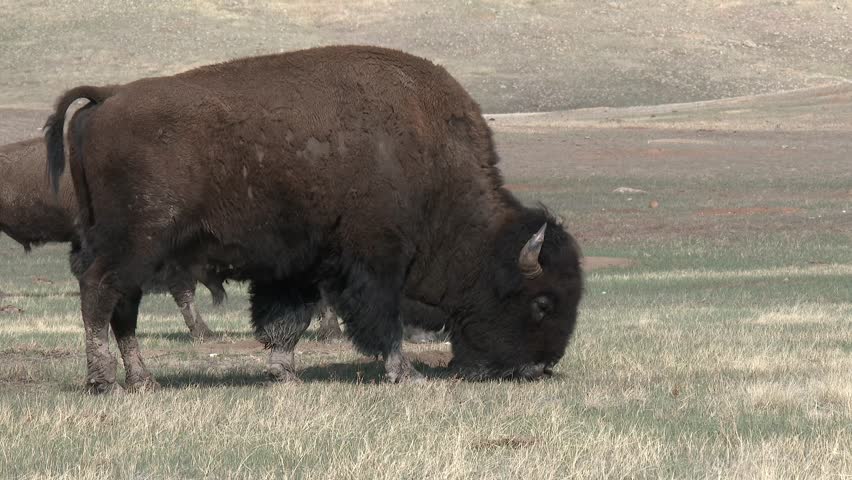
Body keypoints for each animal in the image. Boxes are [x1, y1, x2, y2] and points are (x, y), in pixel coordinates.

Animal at [44, 45, 583, 393]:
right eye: (542, 303)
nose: (538, 368)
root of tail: (108, 96)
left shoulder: (299, 266)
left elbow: (287, 319)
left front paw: (283, 372)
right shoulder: (376, 260)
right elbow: (379, 319)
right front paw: (404, 374)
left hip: (134, 252)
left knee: (123, 308)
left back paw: (143, 381)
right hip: (135, 244)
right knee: (100, 294)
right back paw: (105, 381)